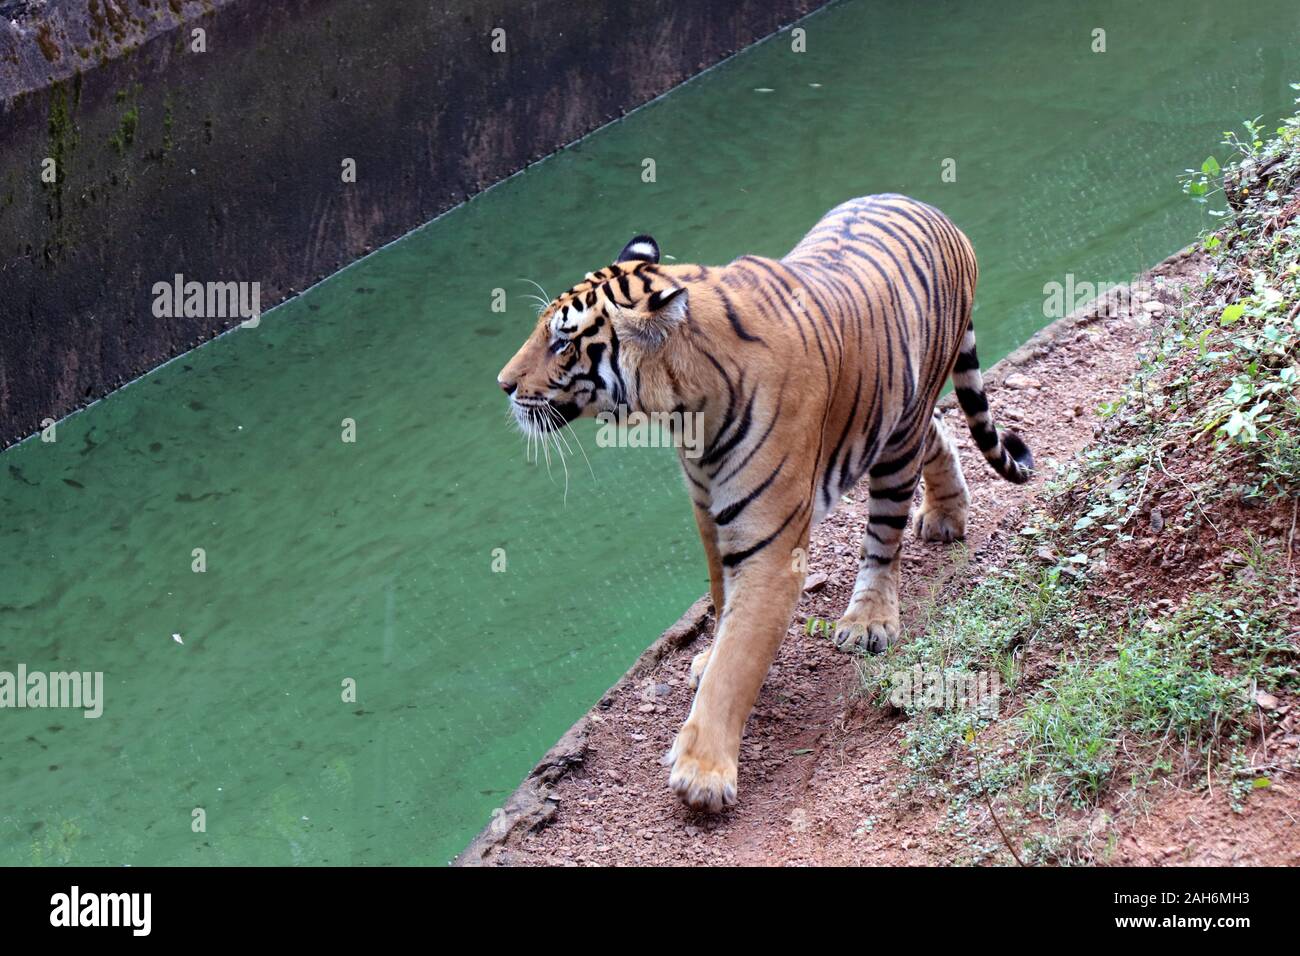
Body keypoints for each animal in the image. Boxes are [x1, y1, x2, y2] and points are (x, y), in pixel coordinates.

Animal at [497, 194, 1032, 813]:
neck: (685, 413)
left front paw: (701, 773)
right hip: (898, 416)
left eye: (562, 342)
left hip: (898, 442)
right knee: (936, 433)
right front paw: (705, 662)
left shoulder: (770, 548)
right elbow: (721, 603)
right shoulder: (708, 514)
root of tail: (935, 210)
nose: (502, 385)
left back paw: (869, 619)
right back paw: (945, 514)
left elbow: (739, 657)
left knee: (884, 537)